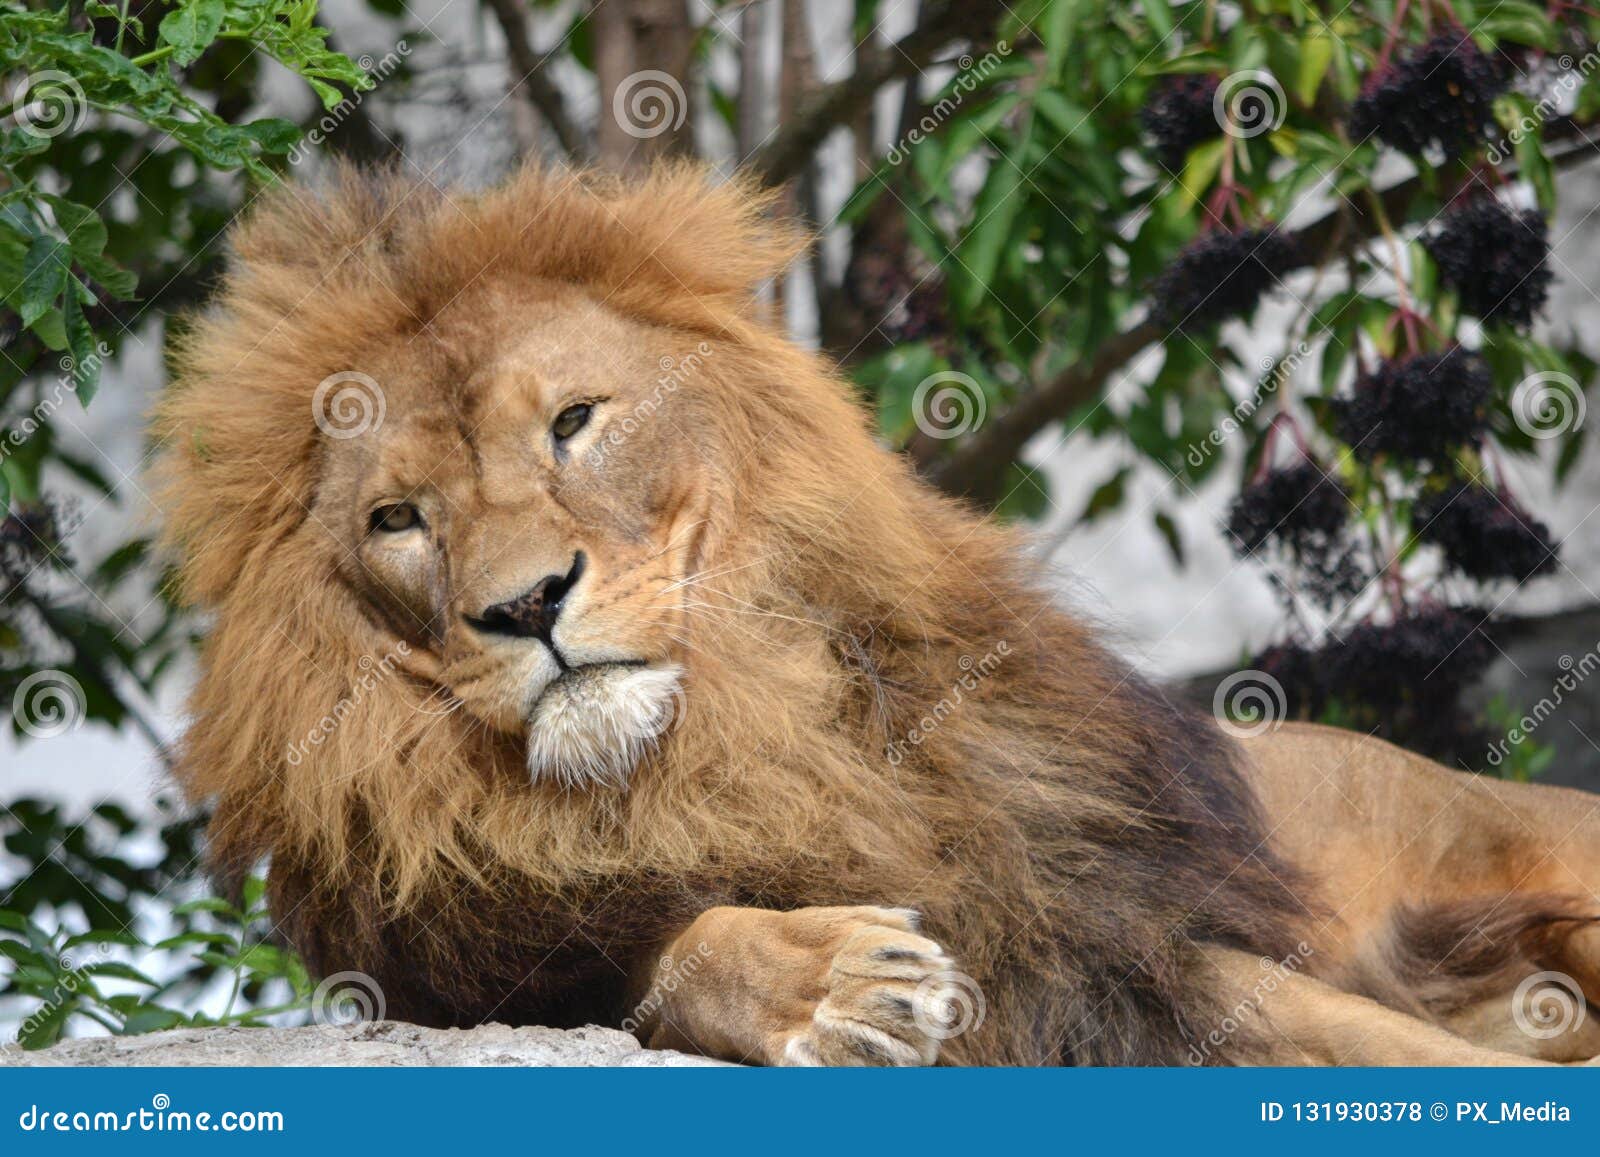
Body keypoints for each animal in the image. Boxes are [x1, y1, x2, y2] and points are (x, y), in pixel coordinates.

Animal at [150, 164, 1600, 1066]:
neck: (729, 736)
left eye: (572, 421)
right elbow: (669, 951)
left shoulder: (1130, 943)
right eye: (397, 518)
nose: (524, 603)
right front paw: (834, 984)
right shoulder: (473, 968)